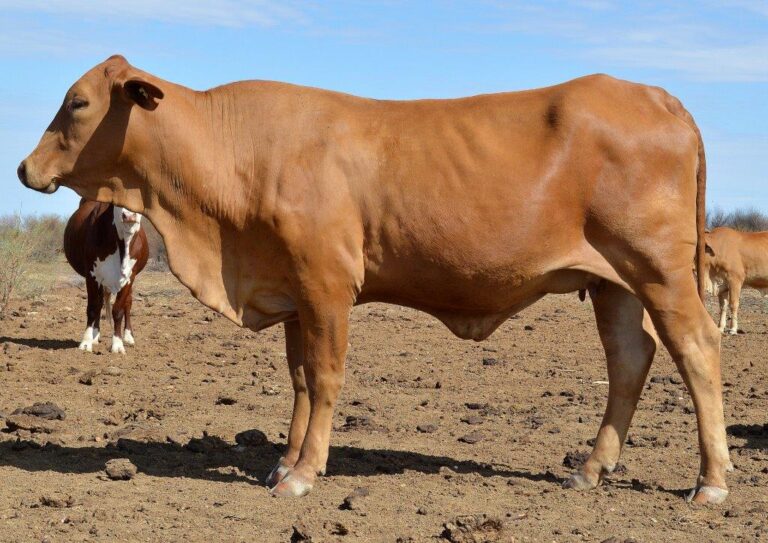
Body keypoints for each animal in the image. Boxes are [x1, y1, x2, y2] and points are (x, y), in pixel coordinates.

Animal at [63, 199, 148, 353]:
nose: (129, 216)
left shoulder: (129, 277)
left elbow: (119, 309)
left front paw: (118, 344)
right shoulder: (92, 274)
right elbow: (93, 307)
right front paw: (86, 342)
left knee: (128, 303)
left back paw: (128, 336)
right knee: (100, 303)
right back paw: (95, 335)